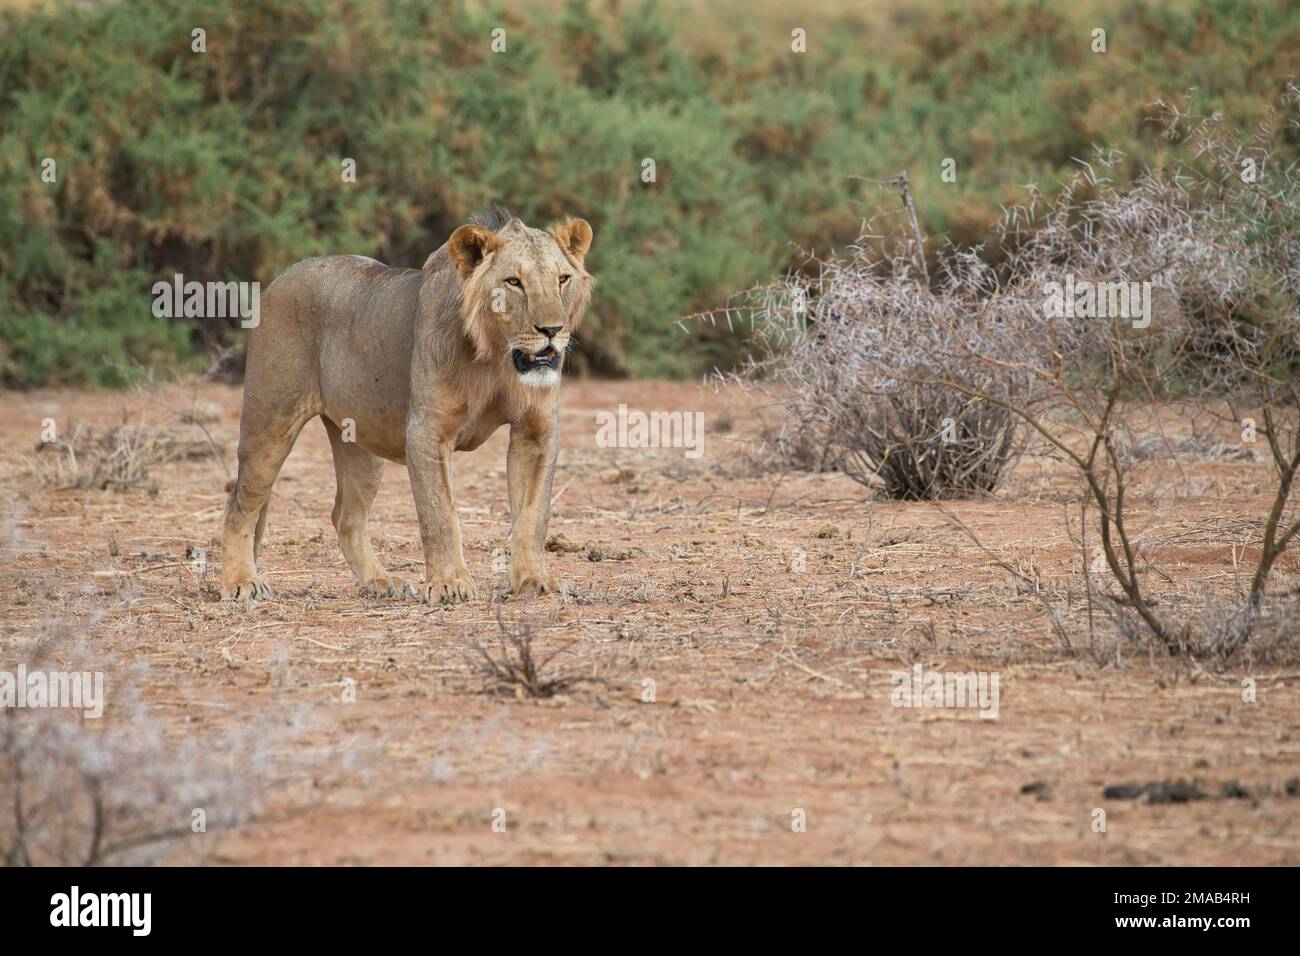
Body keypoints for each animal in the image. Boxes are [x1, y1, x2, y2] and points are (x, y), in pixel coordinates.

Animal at [219, 205, 594, 605]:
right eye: (513, 282)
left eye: (562, 279)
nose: (552, 330)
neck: (496, 356)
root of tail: (279, 279)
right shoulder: (427, 432)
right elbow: (440, 514)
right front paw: (449, 584)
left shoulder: (536, 431)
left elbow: (533, 514)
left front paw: (534, 581)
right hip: (270, 423)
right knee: (240, 503)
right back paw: (242, 581)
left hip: (361, 442)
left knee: (346, 516)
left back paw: (382, 582)